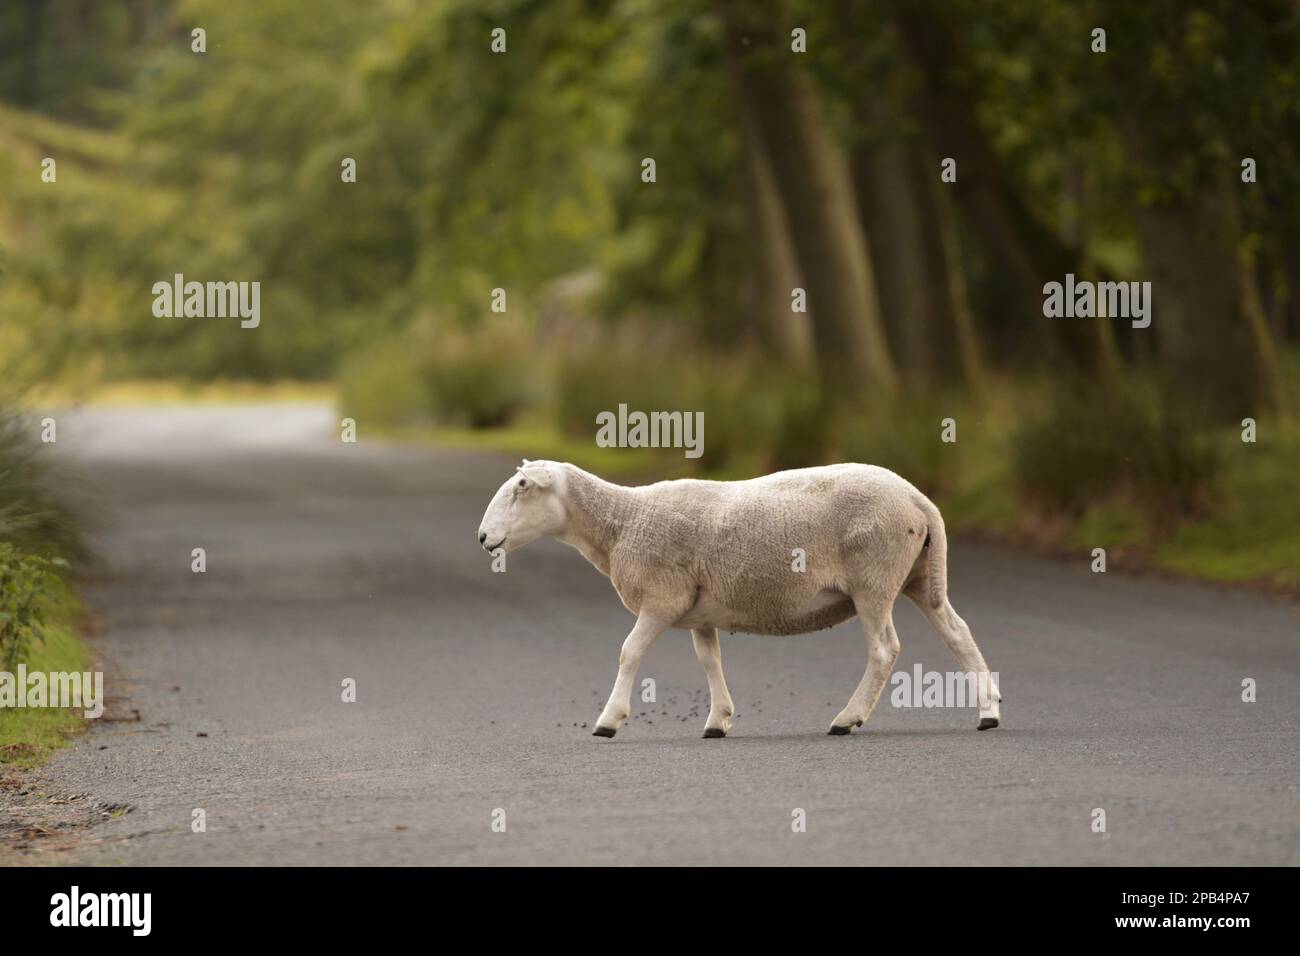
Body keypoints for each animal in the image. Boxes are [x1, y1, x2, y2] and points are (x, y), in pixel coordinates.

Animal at [477, 459, 1001, 739]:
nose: (483, 538)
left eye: (520, 490)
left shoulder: (662, 599)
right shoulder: (698, 611)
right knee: (958, 633)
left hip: (873, 578)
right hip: (917, 576)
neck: (621, 522)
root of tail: (918, 499)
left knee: (884, 649)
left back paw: (847, 718)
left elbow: (628, 652)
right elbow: (710, 661)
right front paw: (718, 721)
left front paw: (609, 720)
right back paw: (988, 712)